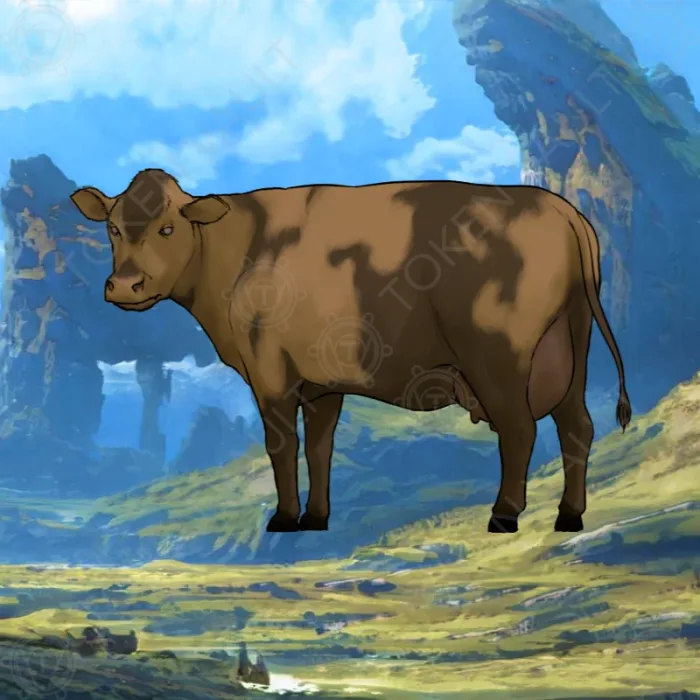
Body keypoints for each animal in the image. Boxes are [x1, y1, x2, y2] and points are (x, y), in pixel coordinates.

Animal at [71, 170, 631, 535]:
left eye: (167, 228)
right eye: (113, 228)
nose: (124, 285)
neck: (236, 248)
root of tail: (561, 209)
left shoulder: (270, 375)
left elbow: (282, 447)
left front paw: (283, 519)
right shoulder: (321, 384)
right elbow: (320, 447)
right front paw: (316, 517)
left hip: (499, 358)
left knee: (520, 432)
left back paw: (505, 514)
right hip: (569, 350)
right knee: (577, 427)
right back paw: (569, 515)